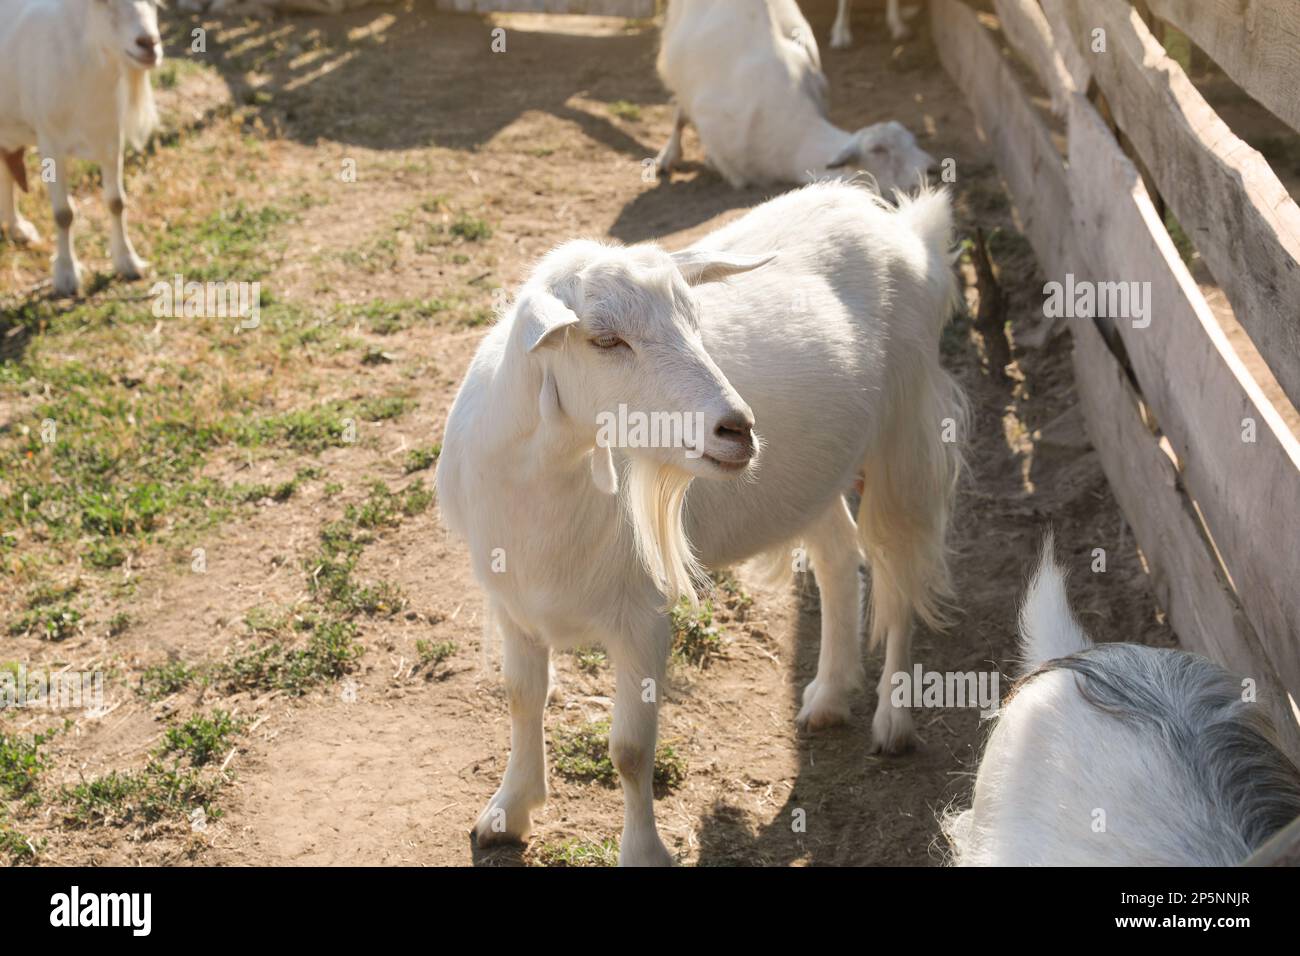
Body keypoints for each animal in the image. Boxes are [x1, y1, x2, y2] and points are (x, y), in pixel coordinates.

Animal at [0, 0, 161, 297]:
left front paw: (128, 262)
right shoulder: (50, 144)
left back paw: (17, 228)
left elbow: (116, 202)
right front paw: (66, 275)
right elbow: (64, 214)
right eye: (105, 3)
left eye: (155, 3)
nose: (149, 43)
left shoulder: (110, 139)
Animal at [436, 181, 965, 865]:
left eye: (694, 320)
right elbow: (522, 699)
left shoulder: (641, 616)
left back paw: (894, 719)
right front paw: (507, 812)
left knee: (900, 567)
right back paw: (827, 695)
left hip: (905, 428)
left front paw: (642, 851)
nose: (736, 428)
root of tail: (895, 220)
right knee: (838, 554)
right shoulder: (513, 602)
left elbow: (630, 750)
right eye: (604, 339)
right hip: (816, 472)